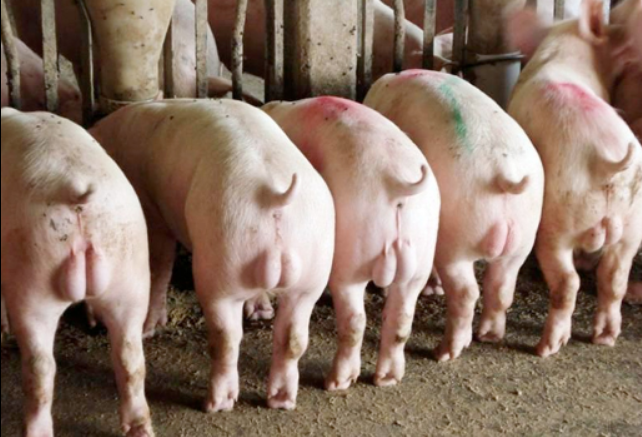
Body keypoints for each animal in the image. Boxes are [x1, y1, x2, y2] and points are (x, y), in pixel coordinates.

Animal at [1, 108, 154, 436]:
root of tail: (76, 191)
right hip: (131, 269)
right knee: (130, 357)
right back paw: (139, 428)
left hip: (32, 275)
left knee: (41, 366)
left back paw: (36, 430)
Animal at [89, 99, 335, 412]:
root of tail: (275, 198)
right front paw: (260, 309)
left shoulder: (153, 212)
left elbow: (160, 265)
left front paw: (149, 328)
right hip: (312, 271)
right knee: (292, 337)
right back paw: (281, 400)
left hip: (220, 263)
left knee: (226, 338)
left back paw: (215, 404)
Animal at [263, 97, 441, 390]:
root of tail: (398, 184)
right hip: (421, 256)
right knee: (402, 319)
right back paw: (387, 379)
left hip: (353, 252)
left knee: (355, 320)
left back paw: (336, 382)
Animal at [365, 70, 545, 362]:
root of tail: (504, 176)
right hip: (523, 238)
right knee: (501, 286)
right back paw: (488, 335)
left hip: (457, 240)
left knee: (467, 292)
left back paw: (445, 353)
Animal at [508, 0, 642, 358]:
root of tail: (609, 163)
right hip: (632, 225)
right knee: (614, 278)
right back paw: (604, 337)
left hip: (558, 221)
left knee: (569, 283)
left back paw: (546, 347)